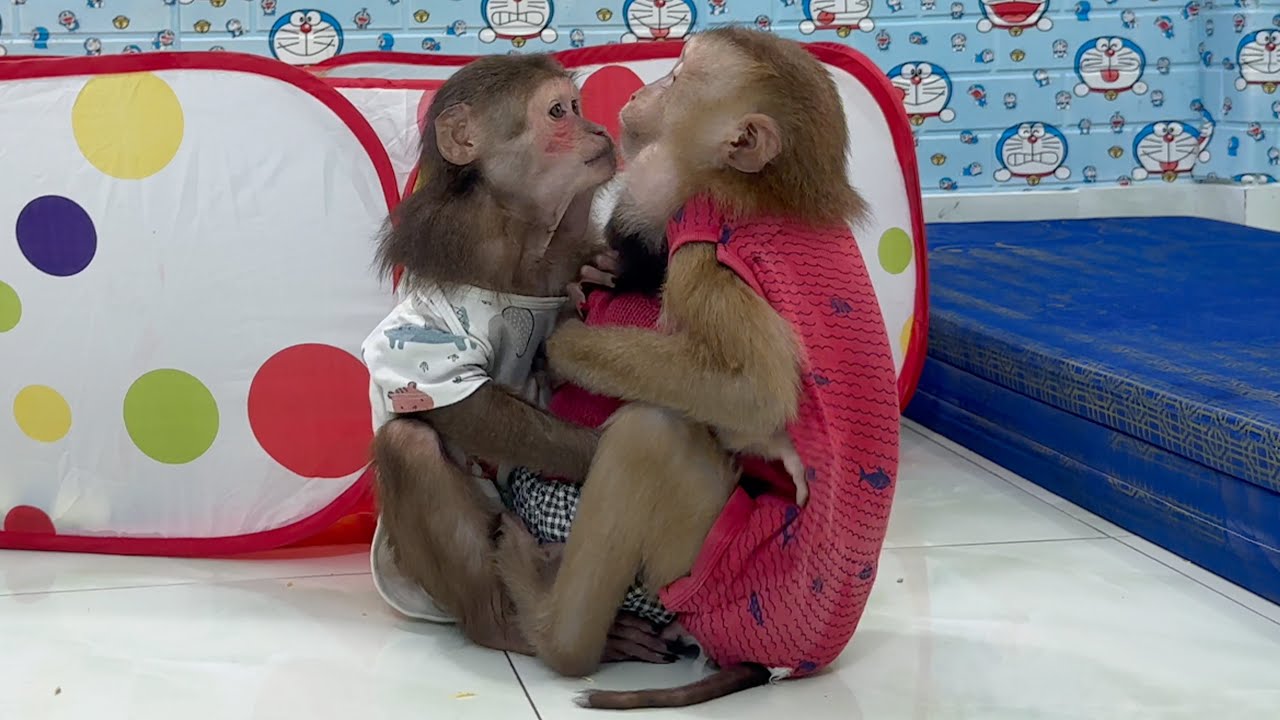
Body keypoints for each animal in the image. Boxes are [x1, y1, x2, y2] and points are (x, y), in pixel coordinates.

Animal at [363, 53, 676, 664]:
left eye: (577, 106)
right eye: (558, 113)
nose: (598, 128)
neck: (526, 236)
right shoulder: (449, 295)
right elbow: (455, 397)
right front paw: (603, 453)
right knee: (408, 444)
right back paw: (503, 625)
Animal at [495, 28, 901, 708]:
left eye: (679, 77)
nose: (642, 90)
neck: (764, 190)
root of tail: (786, 663)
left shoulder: (702, 245)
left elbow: (754, 390)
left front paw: (568, 344)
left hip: (707, 574)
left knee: (650, 434)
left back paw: (557, 633)